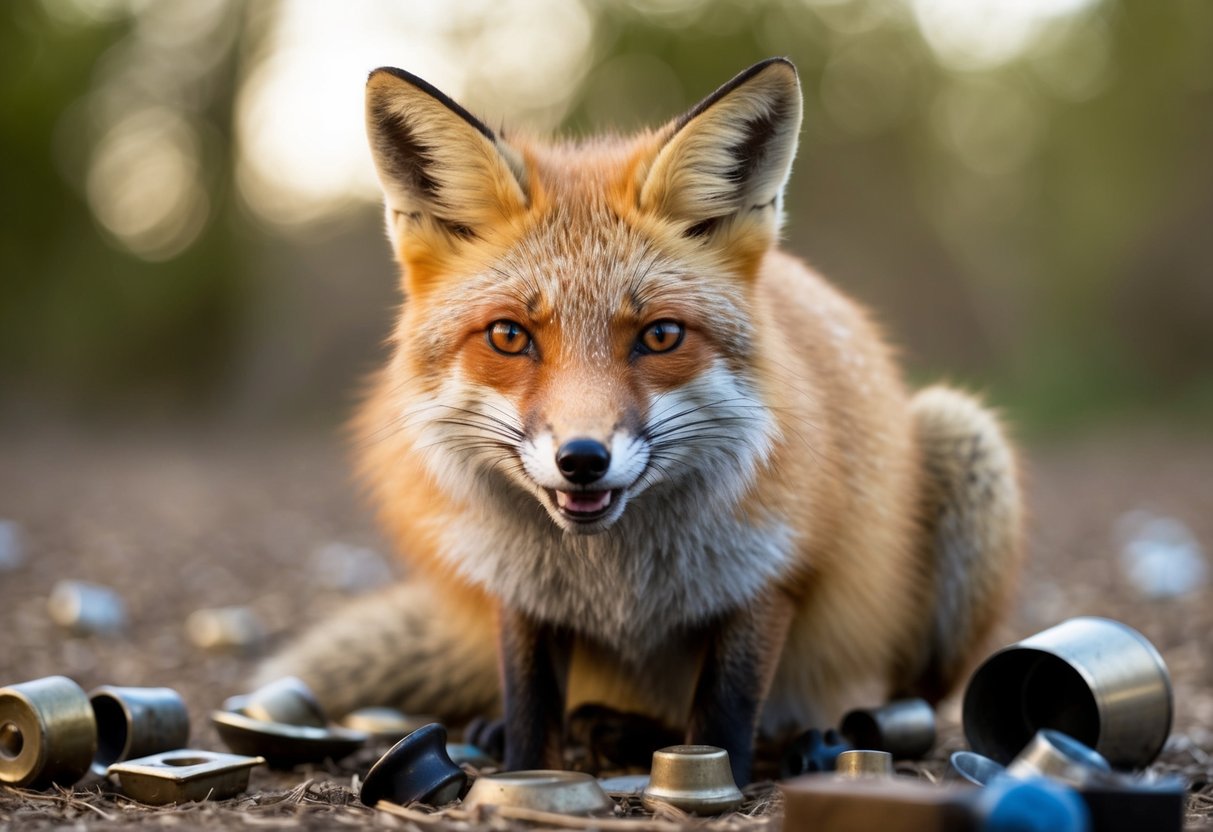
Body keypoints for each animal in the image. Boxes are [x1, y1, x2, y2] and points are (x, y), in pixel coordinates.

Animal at [254, 57, 1023, 784]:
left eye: (659, 336)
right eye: (508, 337)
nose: (582, 459)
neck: (618, 582)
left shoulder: (770, 572)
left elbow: (724, 706)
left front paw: (712, 776)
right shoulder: (519, 586)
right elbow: (529, 699)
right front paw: (521, 768)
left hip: (963, 449)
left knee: (901, 695)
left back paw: (819, 739)